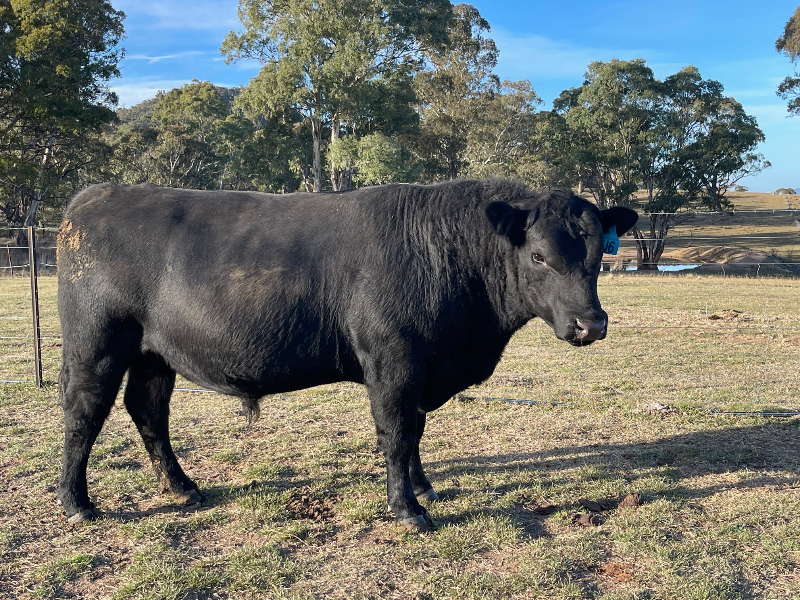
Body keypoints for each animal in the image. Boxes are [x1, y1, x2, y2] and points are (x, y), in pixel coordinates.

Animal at [57, 179, 638, 531]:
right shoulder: (393, 361)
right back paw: (77, 503)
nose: (591, 324)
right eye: (539, 256)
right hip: (97, 343)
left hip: (154, 353)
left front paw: (425, 489)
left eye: (596, 253)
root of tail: (93, 197)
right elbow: (396, 433)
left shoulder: (420, 368)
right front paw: (407, 510)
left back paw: (182, 488)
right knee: (84, 414)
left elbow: (415, 431)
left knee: (148, 410)